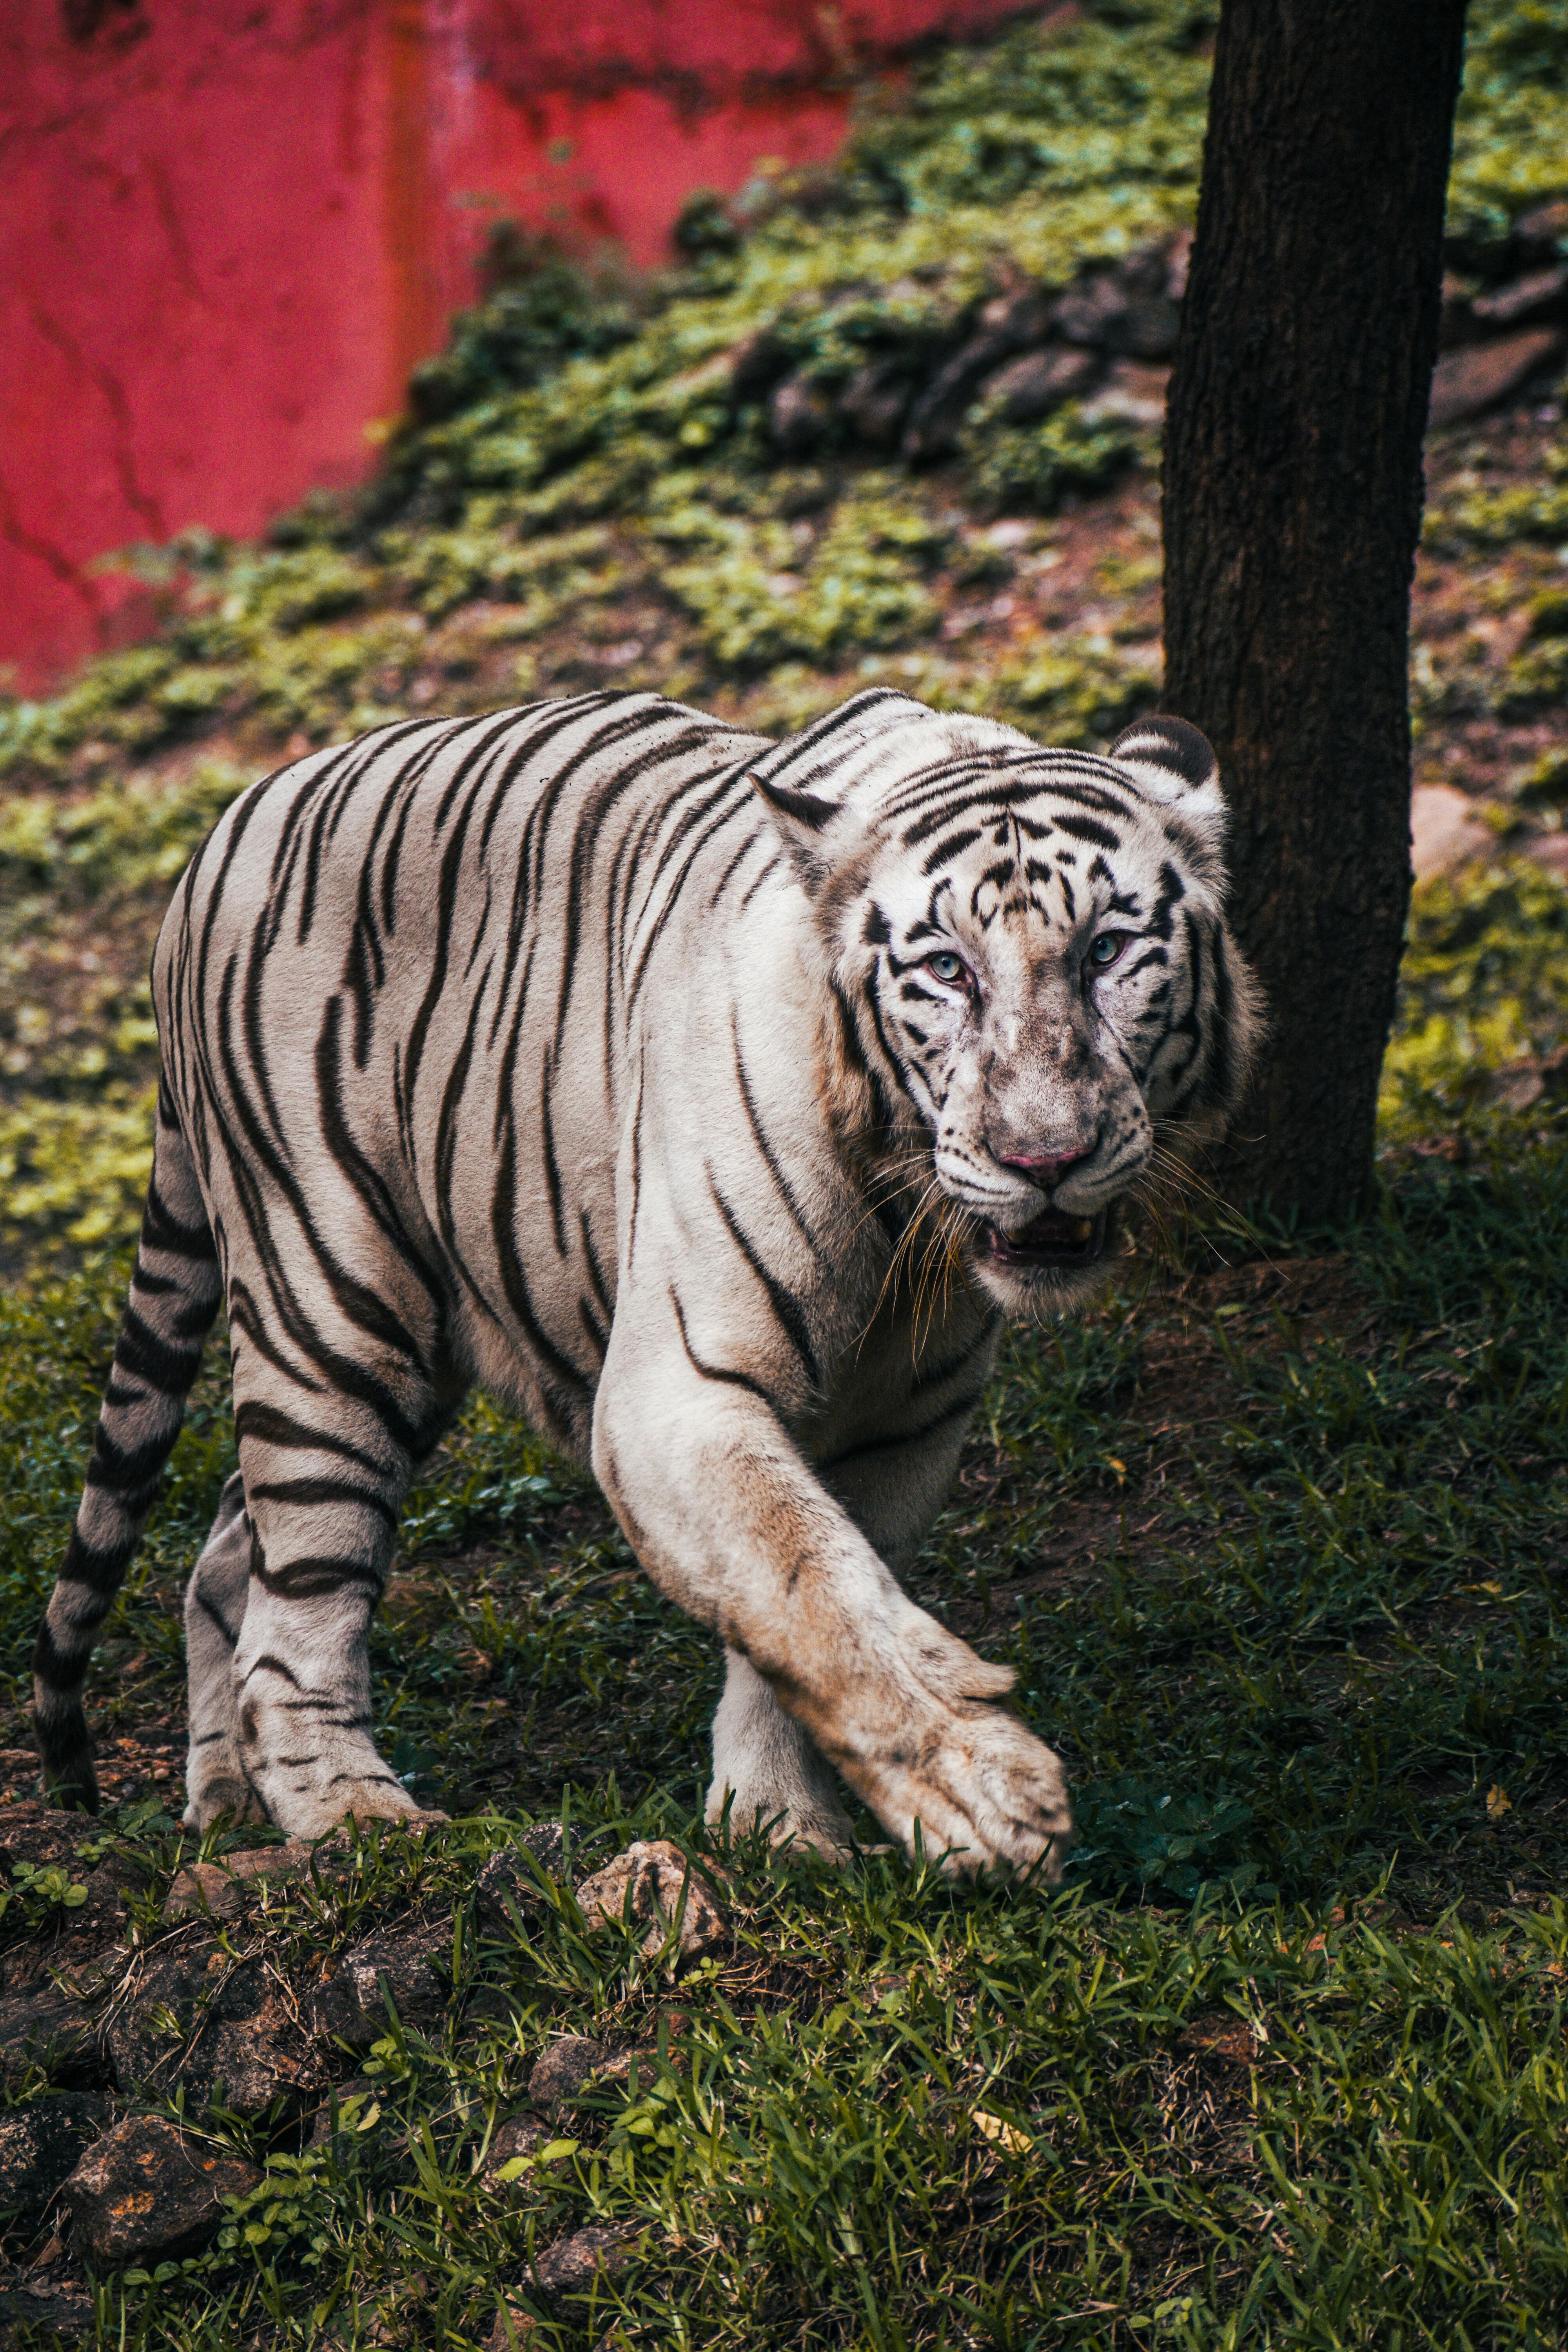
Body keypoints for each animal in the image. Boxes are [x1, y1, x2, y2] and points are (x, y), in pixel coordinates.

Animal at [33, 688, 1259, 1876]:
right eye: (947, 971)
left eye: (1106, 951)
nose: (1043, 1157)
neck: (903, 1222)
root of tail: (223, 830)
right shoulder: (677, 1392)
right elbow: (813, 1592)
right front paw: (983, 1798)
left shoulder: (900, 1426)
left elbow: (801, 1606)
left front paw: (777, 1829)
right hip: (335, 1301)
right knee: (299, 1609)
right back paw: (353, 1817)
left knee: (228, 1554)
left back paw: (226, 1806)